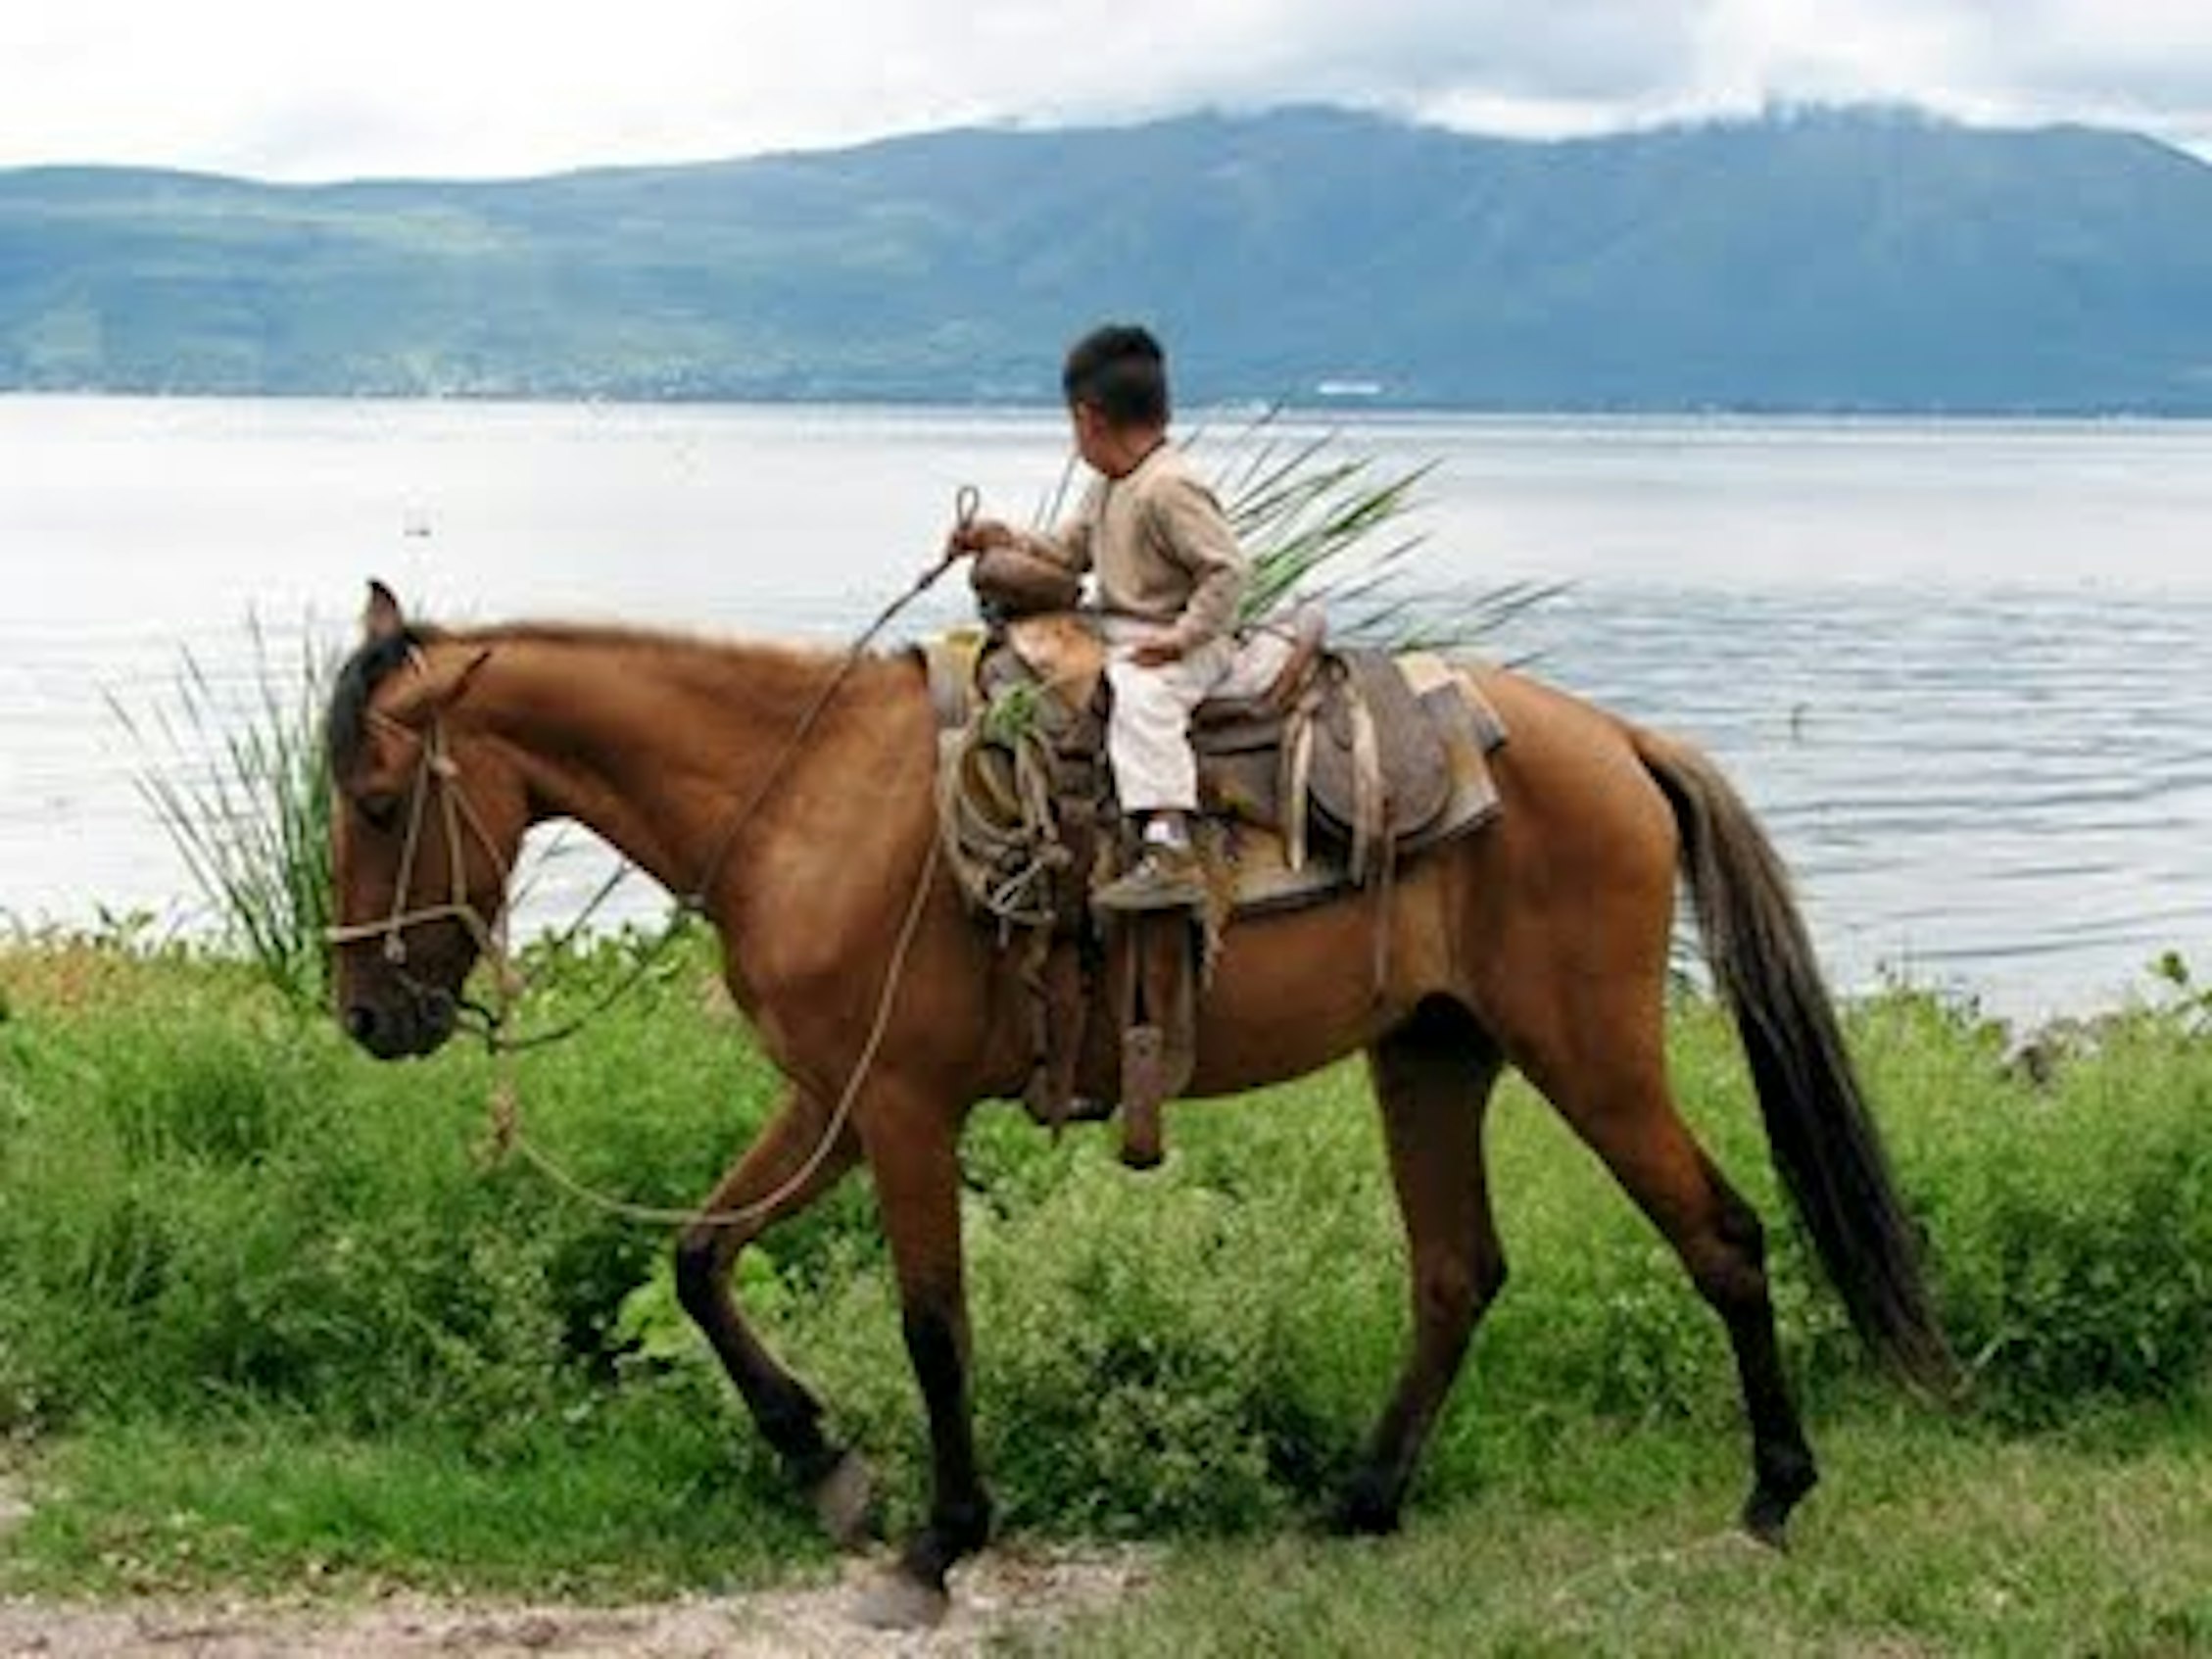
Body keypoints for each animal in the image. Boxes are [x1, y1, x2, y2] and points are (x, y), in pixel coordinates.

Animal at [320, 579, 1947, 1628]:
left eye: (381, 802)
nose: (365, 1016)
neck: (804, 801)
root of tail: (1616, 741)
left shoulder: (899, 1110)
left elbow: (931, 1322)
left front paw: (937, 1543)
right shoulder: (832, 1097)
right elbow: (700, 1257)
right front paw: (826, 1464)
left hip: (1589, 1050)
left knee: (1721, 1235)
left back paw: (1771, 1497)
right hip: (1431, 1052)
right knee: (1455, 1270)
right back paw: (1363, 1498)